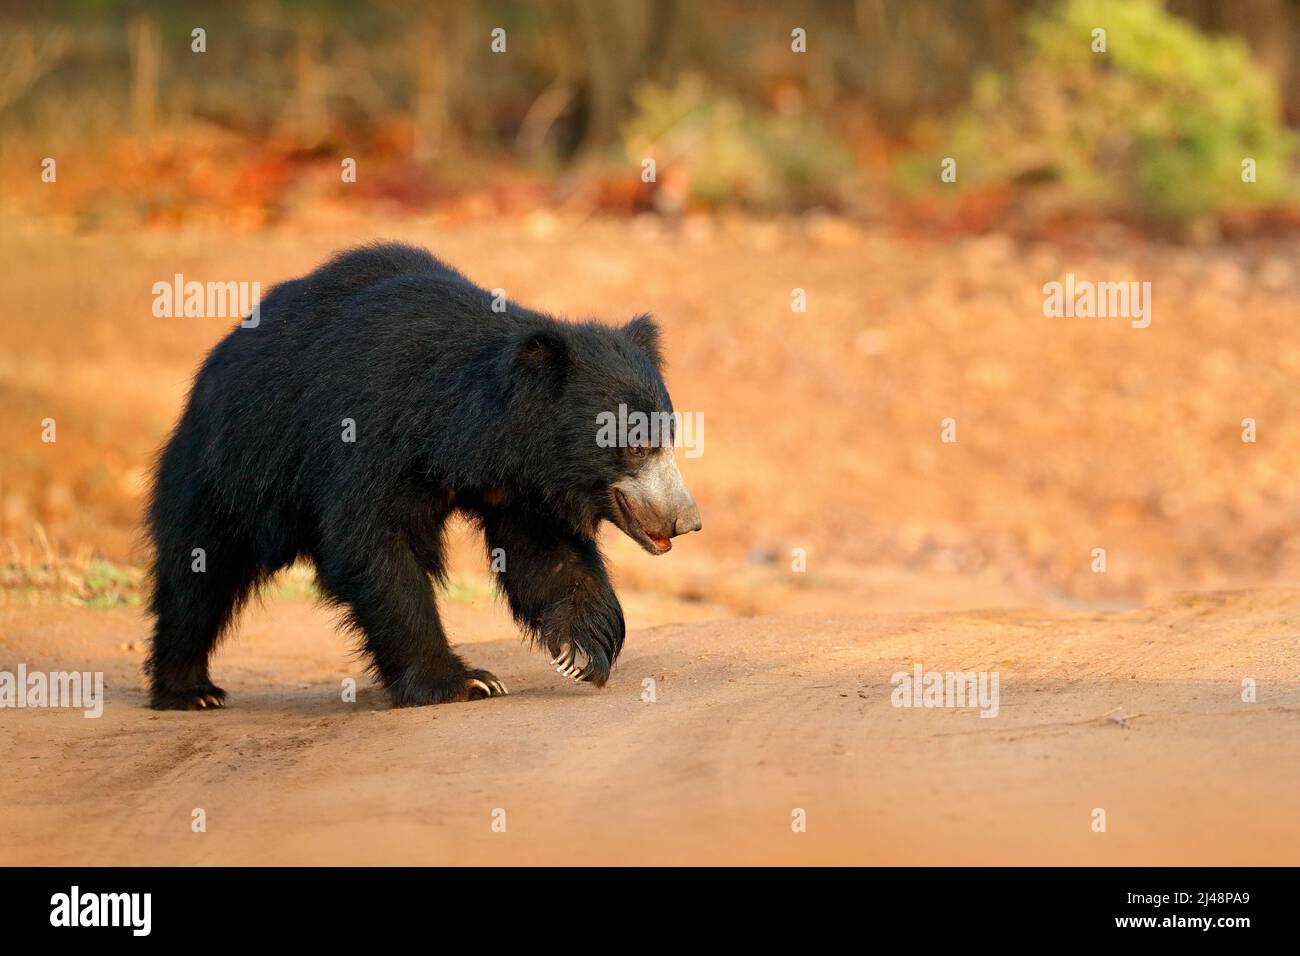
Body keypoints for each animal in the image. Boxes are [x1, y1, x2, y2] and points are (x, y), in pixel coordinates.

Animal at [144, 242, 701, 710]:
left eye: (669, 436)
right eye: (635, 444)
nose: (687, 520)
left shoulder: (522, 485)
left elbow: (548, 556)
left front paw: (581, 653)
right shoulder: (370, 430)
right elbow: (371, 541)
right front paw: (465, 682)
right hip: (228, 465)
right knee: (198, 572)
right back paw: (191, 691)